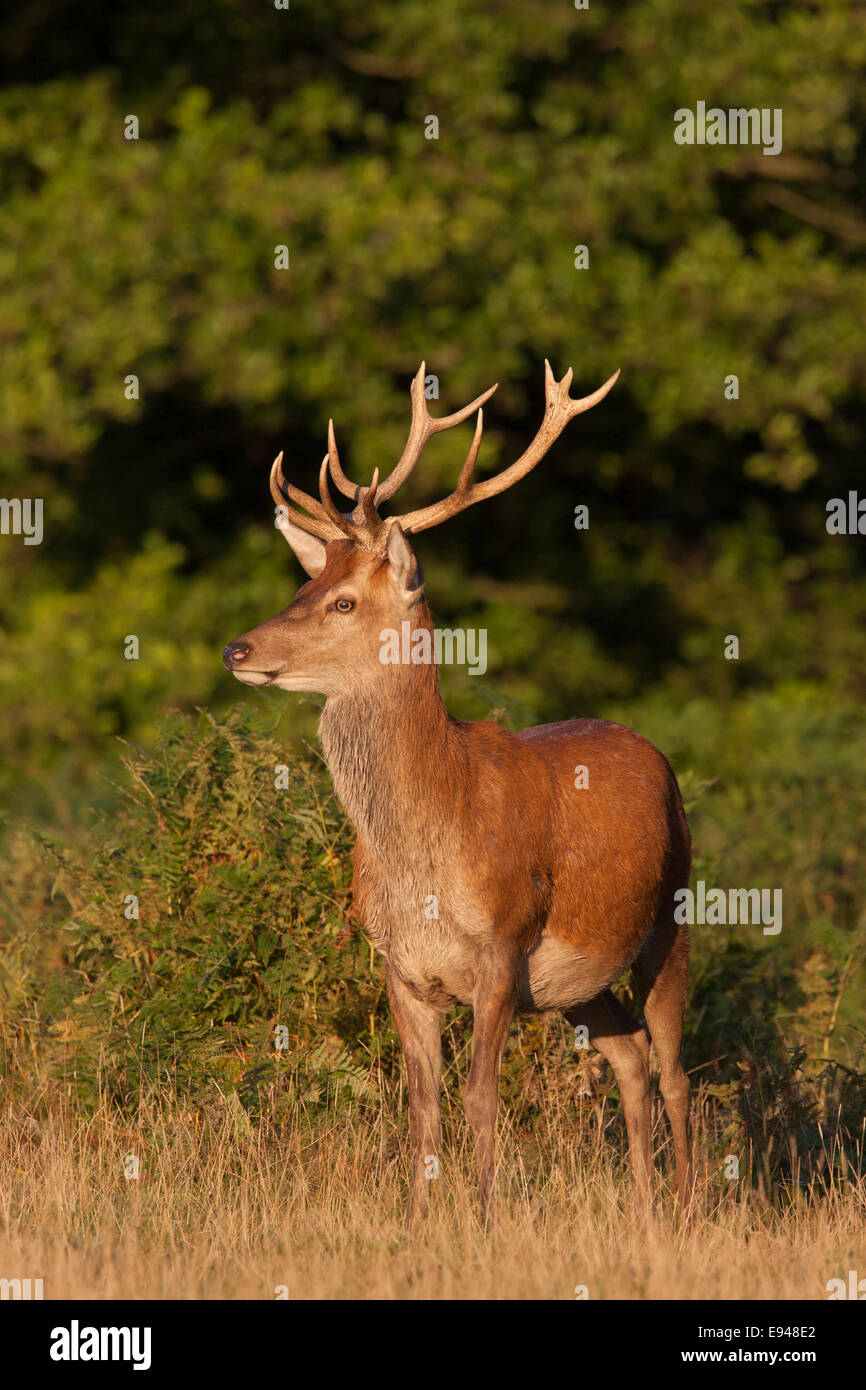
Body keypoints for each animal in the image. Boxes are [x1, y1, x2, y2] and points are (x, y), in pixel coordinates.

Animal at [223, 360, 693, 1225]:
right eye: (304, 586)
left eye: (343, 600)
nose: (238, 649)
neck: (427, 859)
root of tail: (652, 751)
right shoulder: (401, 967)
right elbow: (422, 1106)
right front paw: (417, 1221)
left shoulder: (501, 950)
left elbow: (481, 1097)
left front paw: (485, 1219)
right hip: (576, 985)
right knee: (632, 1058)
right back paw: (645, 1209)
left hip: (672, 913)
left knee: (675, 1066)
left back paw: (688, 1205)